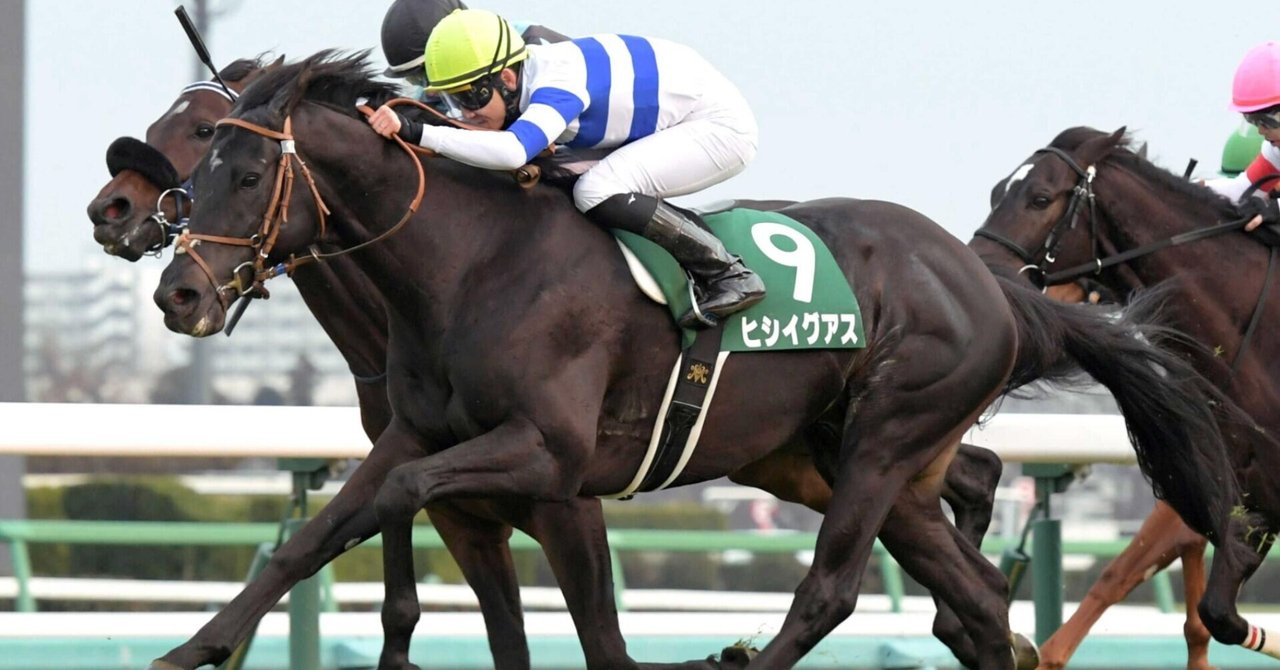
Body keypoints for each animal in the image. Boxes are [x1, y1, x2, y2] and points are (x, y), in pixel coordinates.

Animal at [151, 52, 1238, 669]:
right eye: (197, 169)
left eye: (246, 170)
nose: (178, 293)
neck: (470, 263)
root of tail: (994, 285)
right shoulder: (423, 435)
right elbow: (312, 536)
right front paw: (197, 646)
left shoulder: (549, 462)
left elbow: (419, 513)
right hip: (862, 460)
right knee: (971, 601)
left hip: (887, 436)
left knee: (831, 591)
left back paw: (741, 656)